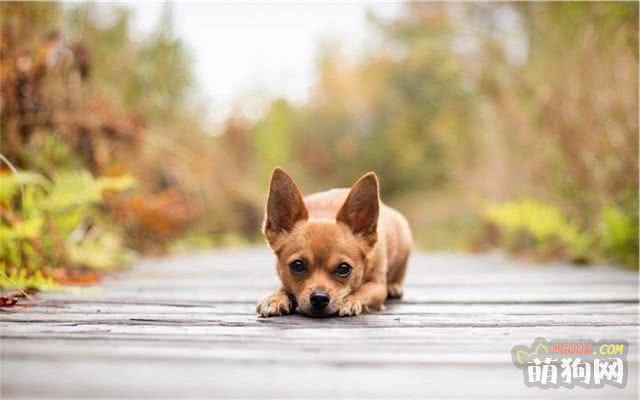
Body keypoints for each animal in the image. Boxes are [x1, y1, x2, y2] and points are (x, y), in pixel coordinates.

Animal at [258, 167, 412, 318]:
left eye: (344, 269)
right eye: (297, 265)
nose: (319, 298)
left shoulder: (377, 287)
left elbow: (362, 291)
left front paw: (350, 301)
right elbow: (283, 287)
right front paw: (274, 298)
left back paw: (393, 286)